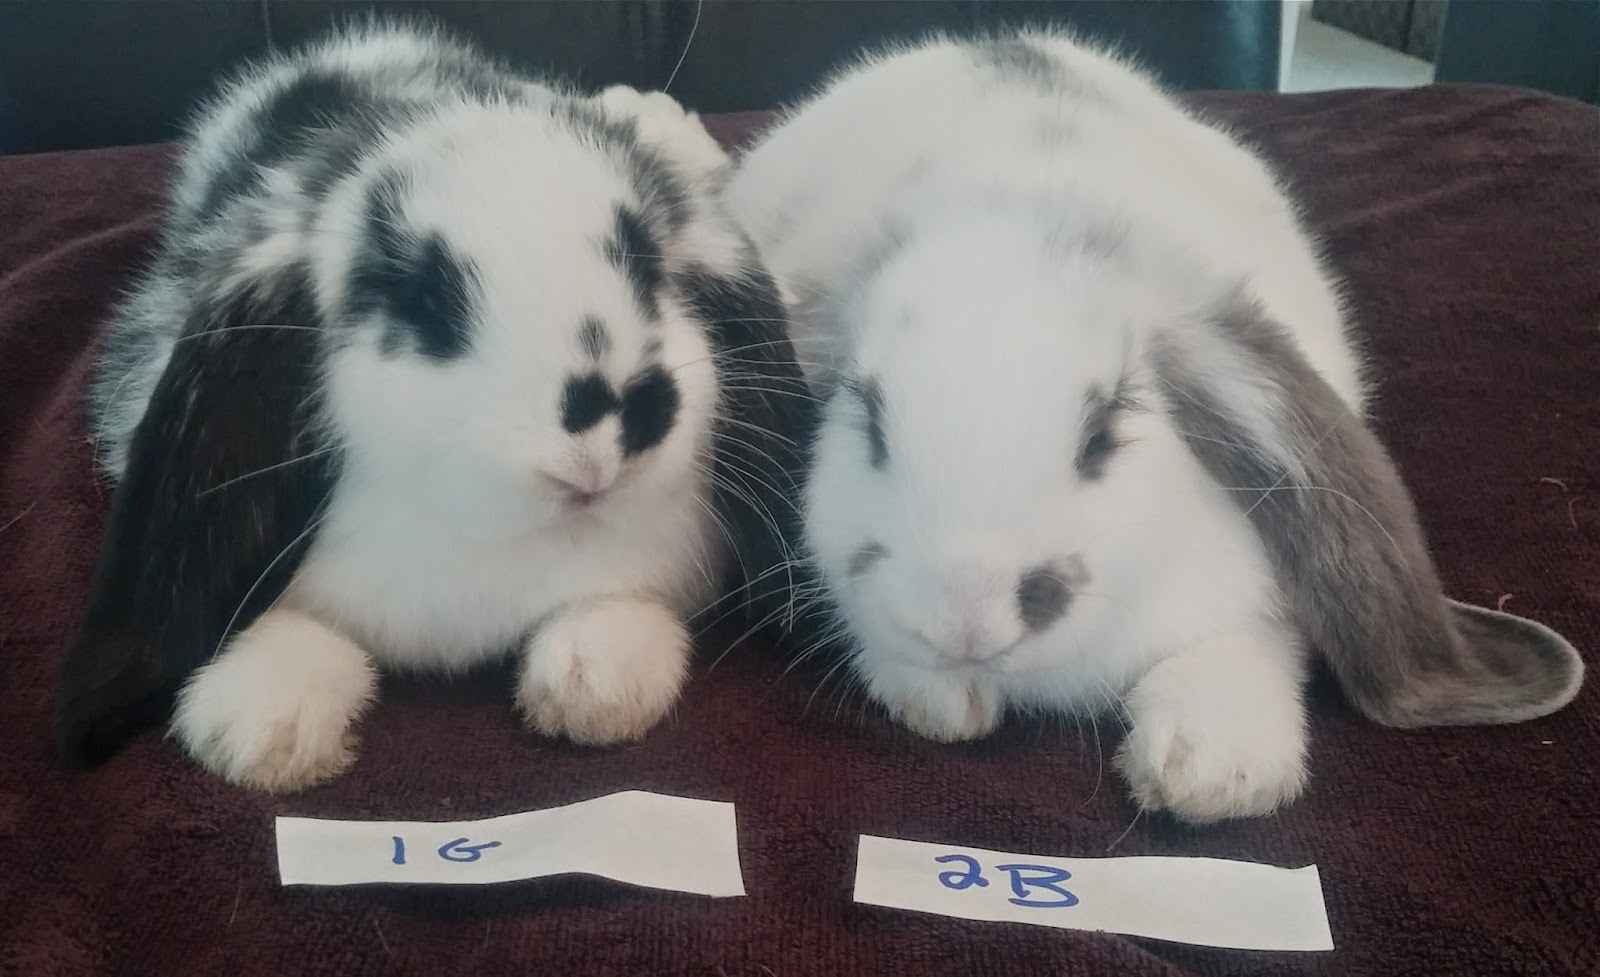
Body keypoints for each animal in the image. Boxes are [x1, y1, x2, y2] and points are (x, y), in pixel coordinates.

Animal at [51, 20, 810, 793]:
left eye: (647, 263)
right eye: (423, 298)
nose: (611, 434)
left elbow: (614, 611)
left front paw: (594, 689)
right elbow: (285, 628)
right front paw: (263, 729)